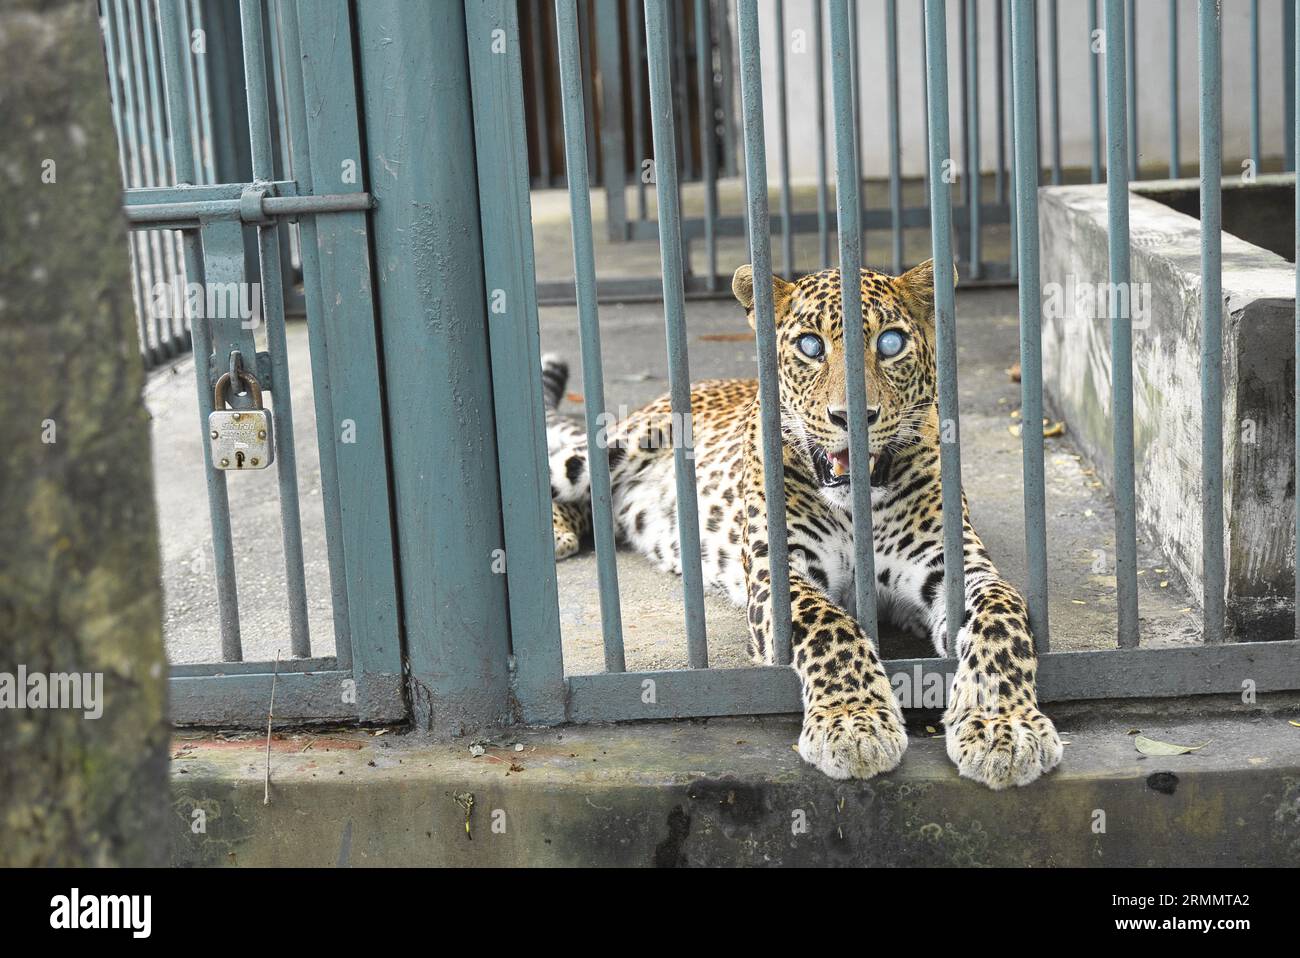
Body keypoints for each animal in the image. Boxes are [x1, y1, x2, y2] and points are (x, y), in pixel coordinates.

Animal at [543, 260, 1062, 789]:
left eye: (890, 343)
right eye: (810, 347)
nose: (853, 416)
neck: (857, 506)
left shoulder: (955, 568)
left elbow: (1002, 617)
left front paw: (1003, 726)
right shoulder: (780, 573)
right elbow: (830, 625)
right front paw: (854, 723)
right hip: (614, 446)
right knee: (558, 473)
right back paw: (556, 531)